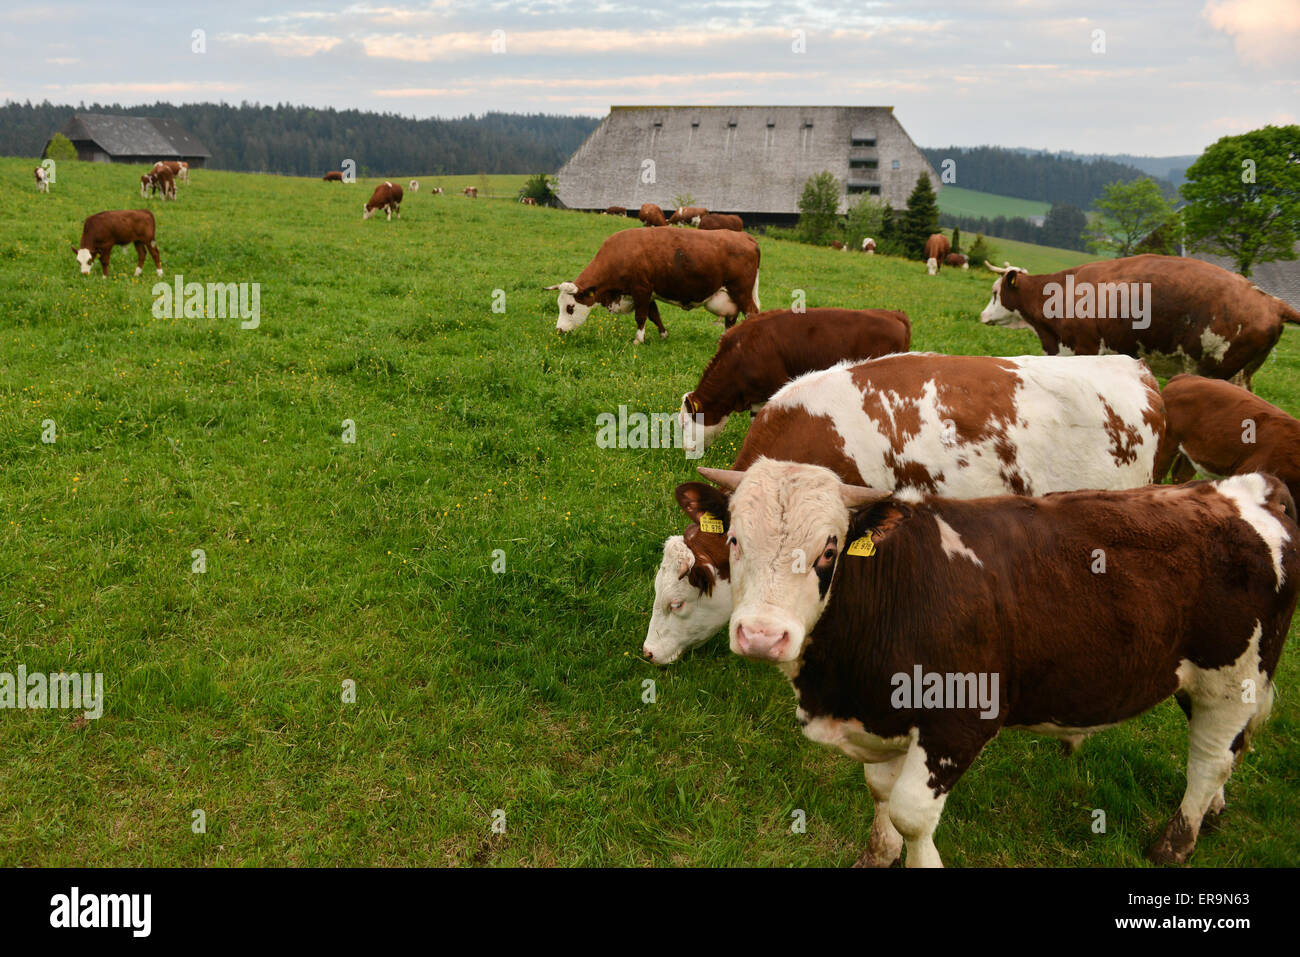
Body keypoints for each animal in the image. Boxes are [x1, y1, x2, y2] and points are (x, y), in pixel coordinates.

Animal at [546, 227, 761, 342]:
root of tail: (745, 236)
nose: (559, 330)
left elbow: (641, 316)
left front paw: (638, 339)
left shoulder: (641, 289)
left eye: (570, 307)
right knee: (731, 318)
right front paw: (663, 335)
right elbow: (653, 315)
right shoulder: (646, 293)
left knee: (751, 314)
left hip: (741, 292)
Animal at [698, 458, 1299, 867]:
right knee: (1228, 748)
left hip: (1234, 676)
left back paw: (1175, 842)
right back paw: (1213, 811)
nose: (762, 635)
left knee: (1210, 758)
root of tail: (1246, 488)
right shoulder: (881, 717)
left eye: (829, 549)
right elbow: (881, 793)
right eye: (733, 540)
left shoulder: (960, 719)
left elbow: (910, 812)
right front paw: (877, 854)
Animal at [981, 255, 1300, 387]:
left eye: (995, 292)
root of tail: (1270, 301)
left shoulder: (1084, 348)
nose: (983, 315)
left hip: (1214, 371)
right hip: (1241, 374)